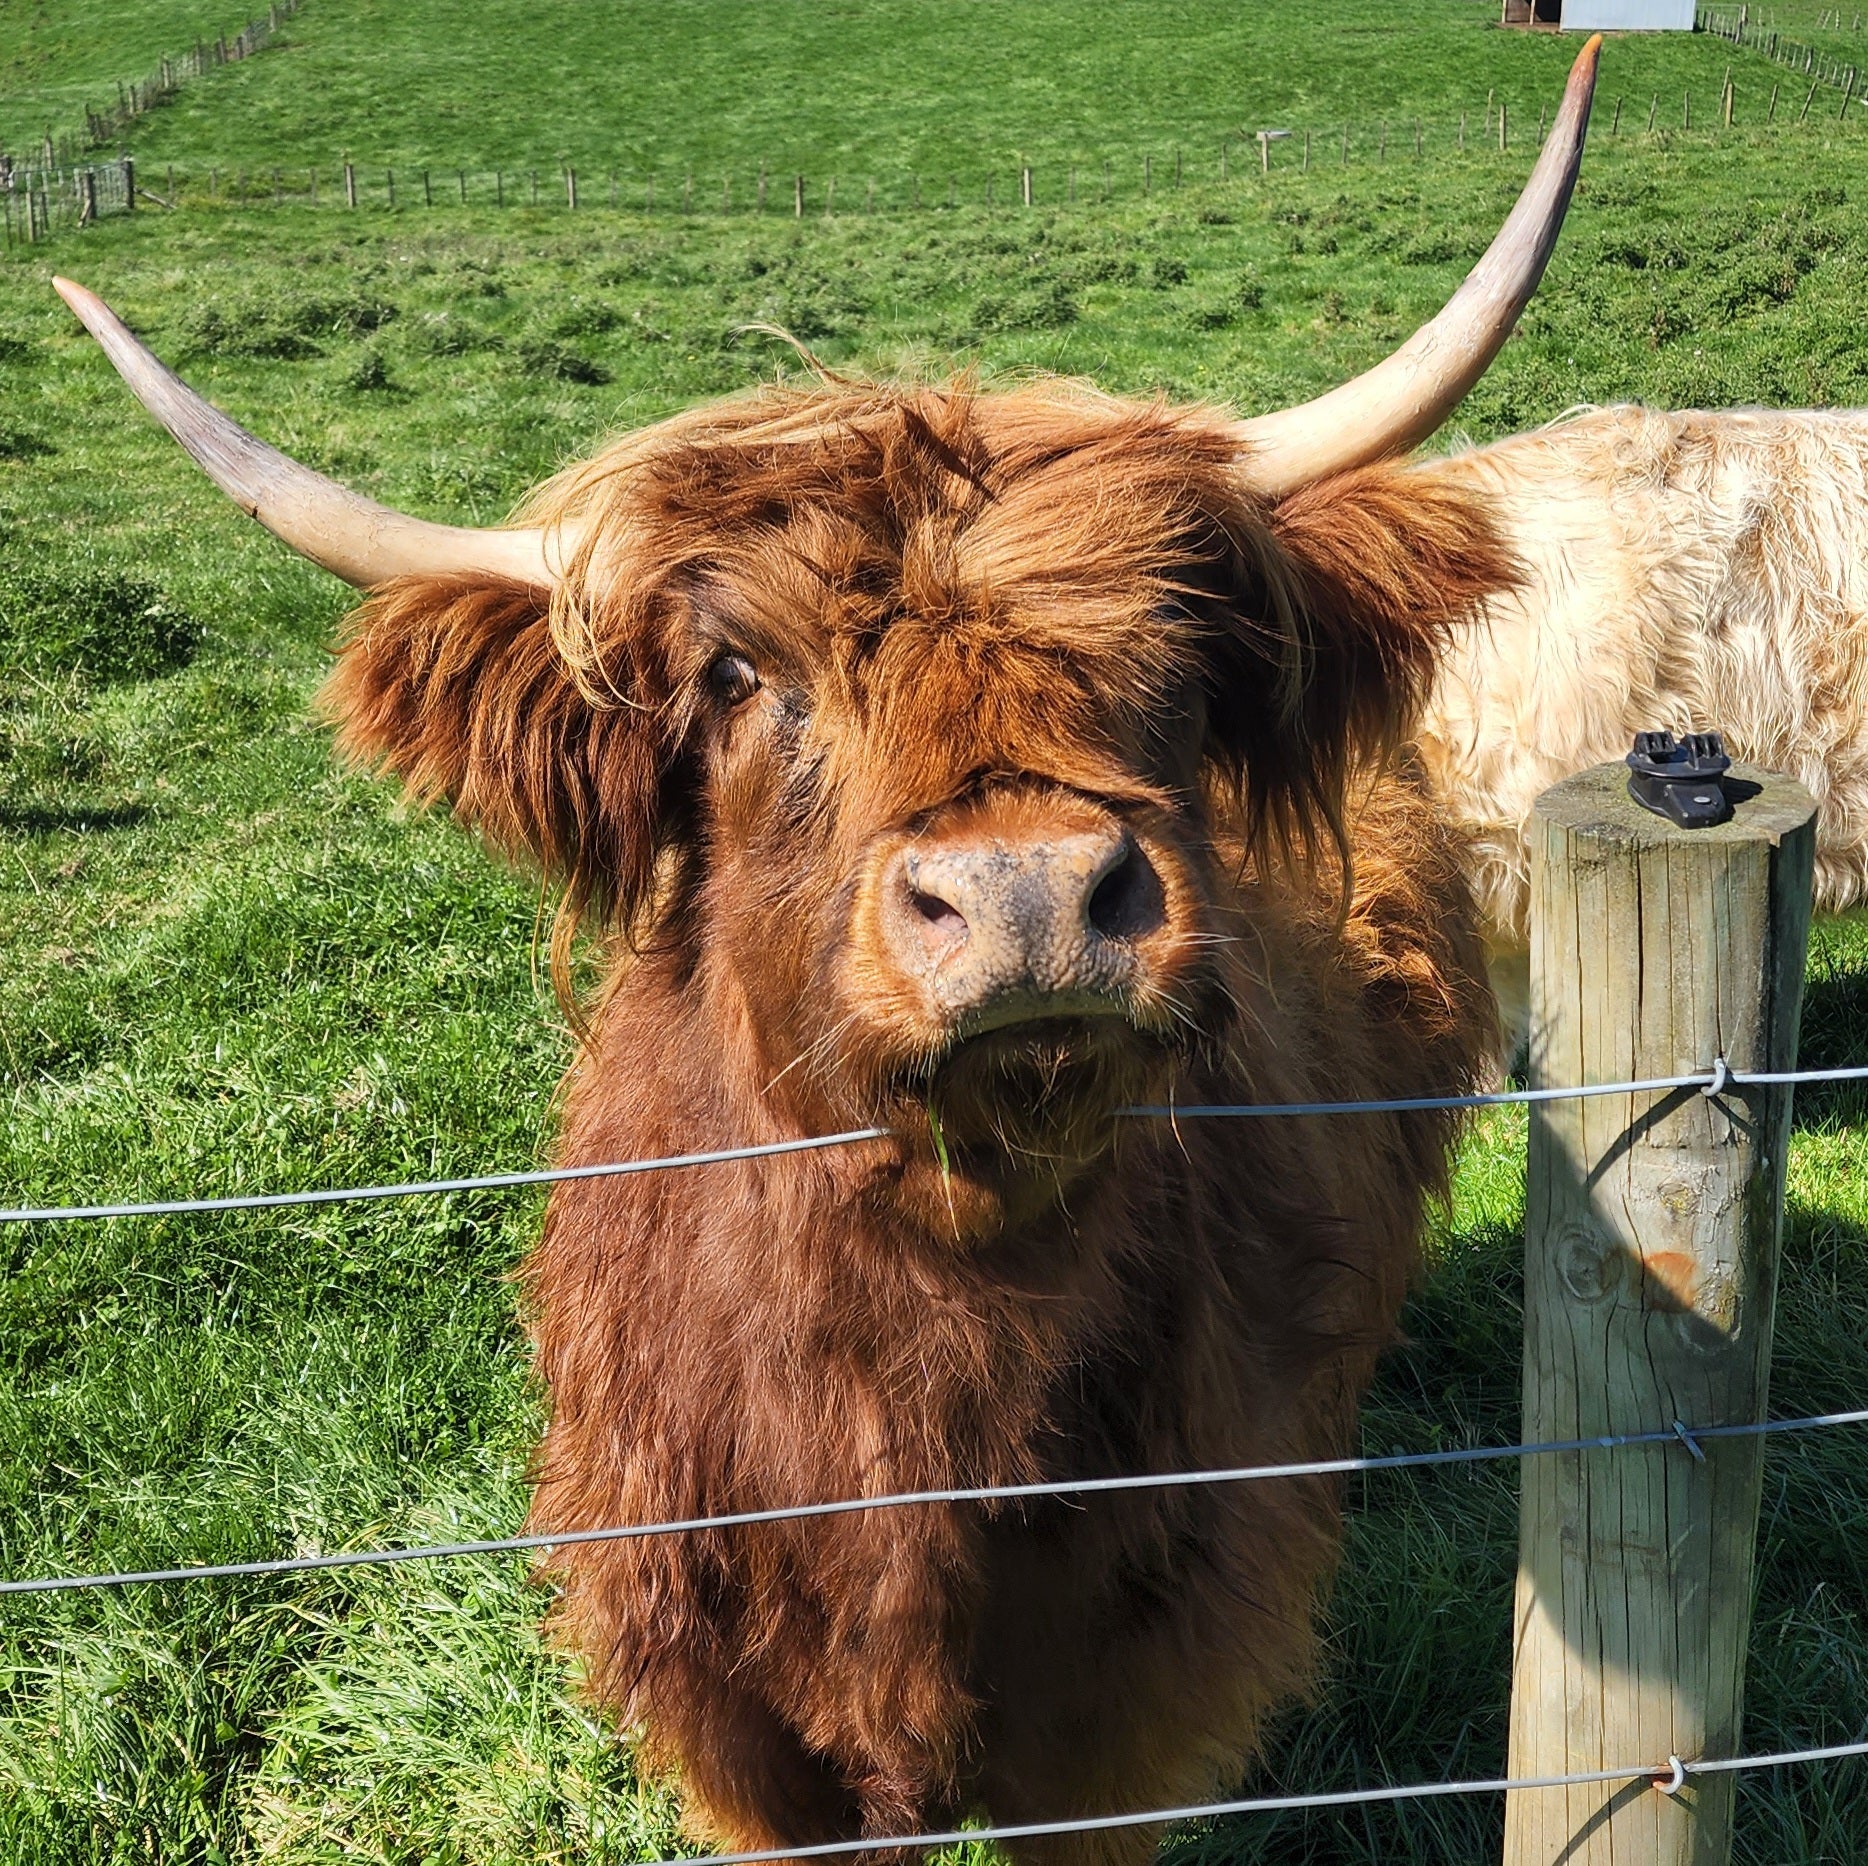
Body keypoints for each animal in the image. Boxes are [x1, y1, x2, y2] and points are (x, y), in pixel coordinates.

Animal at [54, 42, 1598, 1864]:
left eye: (1170, 648)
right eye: (735, 674)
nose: (1025, 896)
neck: (920, 1375)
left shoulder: (1145, 1698)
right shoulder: (726, 1705)